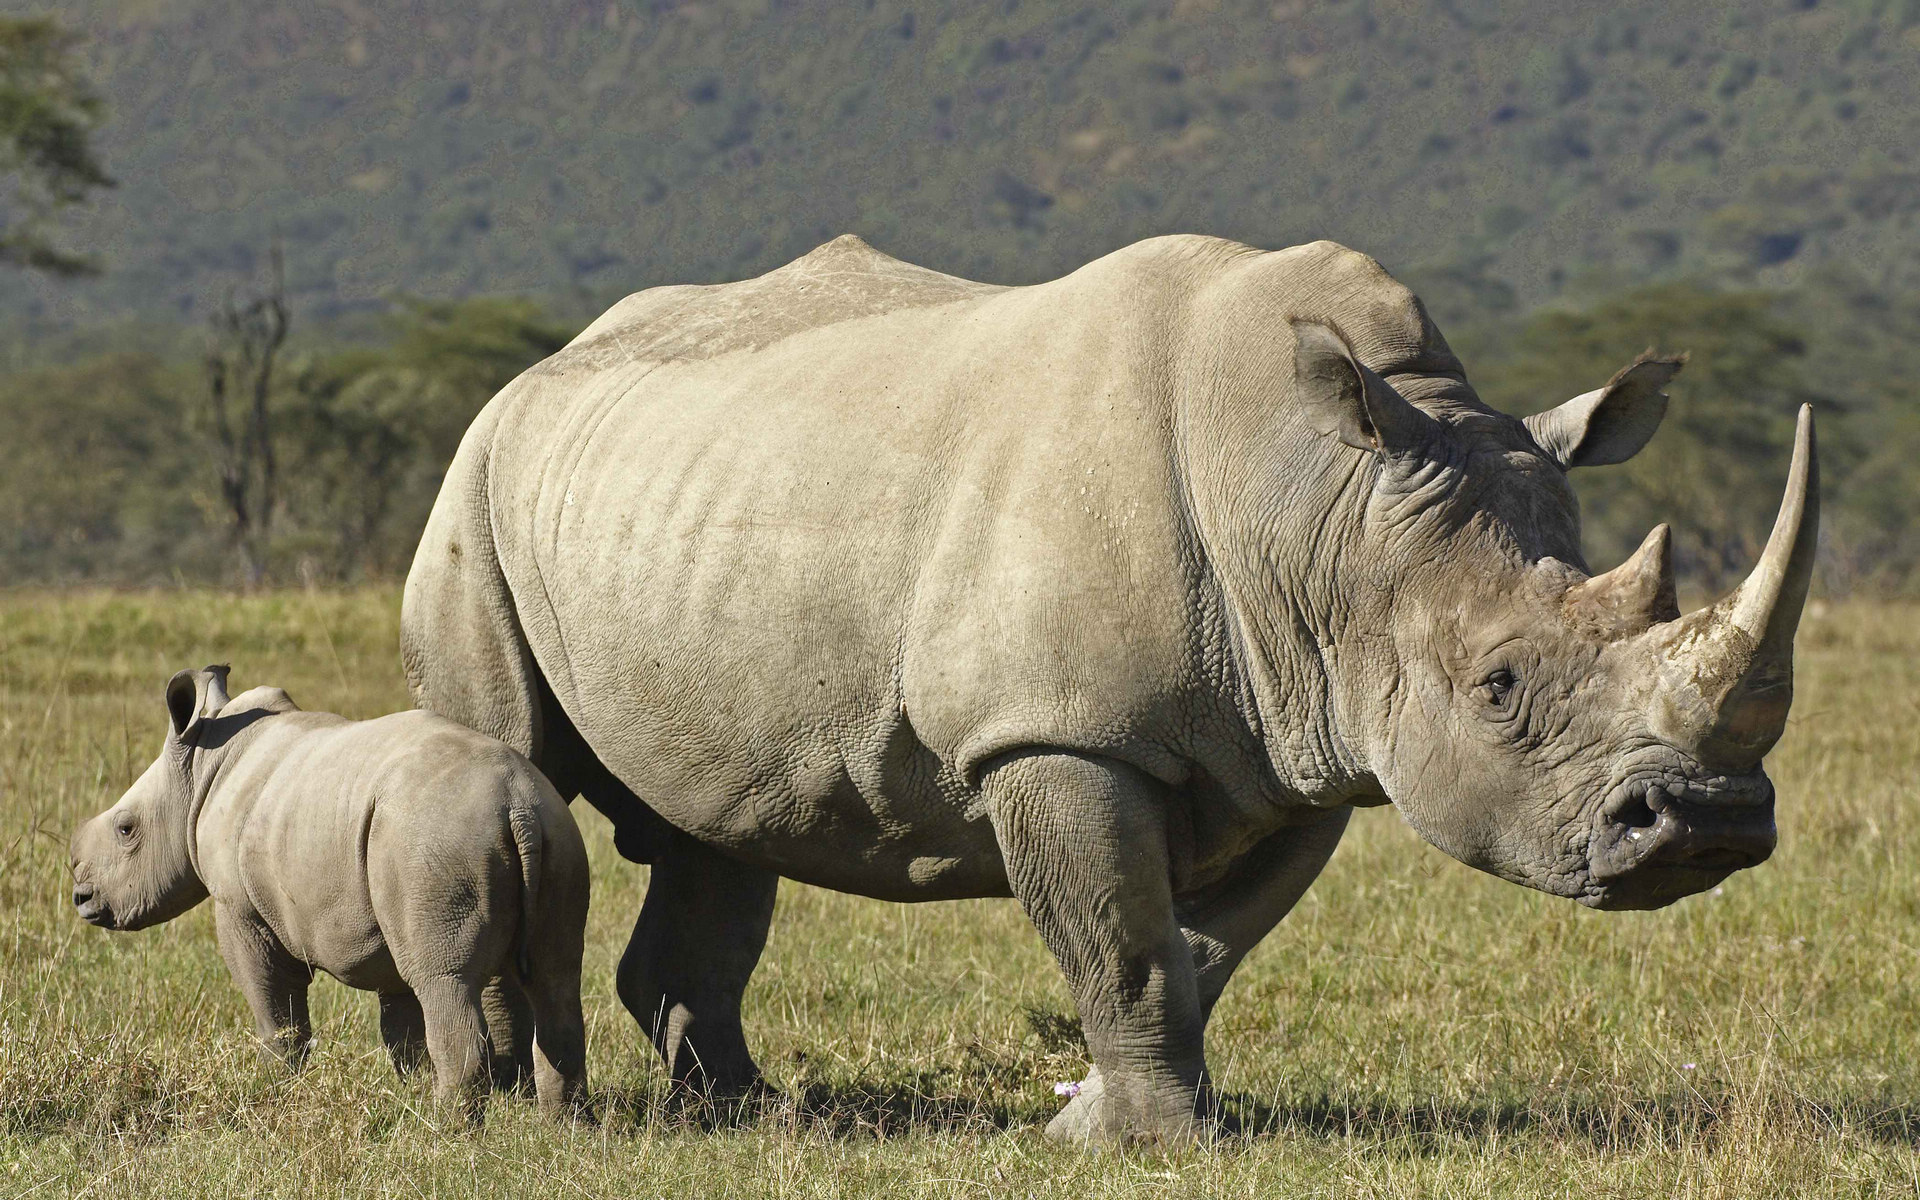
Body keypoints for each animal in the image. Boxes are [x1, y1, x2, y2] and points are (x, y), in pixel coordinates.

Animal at [68, 666, 591, 1120]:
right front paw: (411, 1094)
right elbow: (401, 1024)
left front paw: (276, 1088)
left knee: (444, 979)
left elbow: (275, 1005)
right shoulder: (385, 914)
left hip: (437, 841)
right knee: (556, 976)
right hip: (551, 835)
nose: (81, 898)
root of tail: (515, 803)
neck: (200, 769)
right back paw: (563, 1129)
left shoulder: (241, 909)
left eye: (126, 829)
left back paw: (447, 1132)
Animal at [400, 235, 1817, 1143]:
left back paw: (751, 1112)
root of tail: (545, 364)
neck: (1320, 510)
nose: (1707, 825)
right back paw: (502, 1102)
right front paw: (1143, 1147)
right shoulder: (1057, 736)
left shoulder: (1303, 740)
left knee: (724, 825)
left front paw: (1100, 1111)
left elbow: (1201, 943)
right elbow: (1123, 937)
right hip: (473, 487)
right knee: (501, 762)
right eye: (1500, 686)